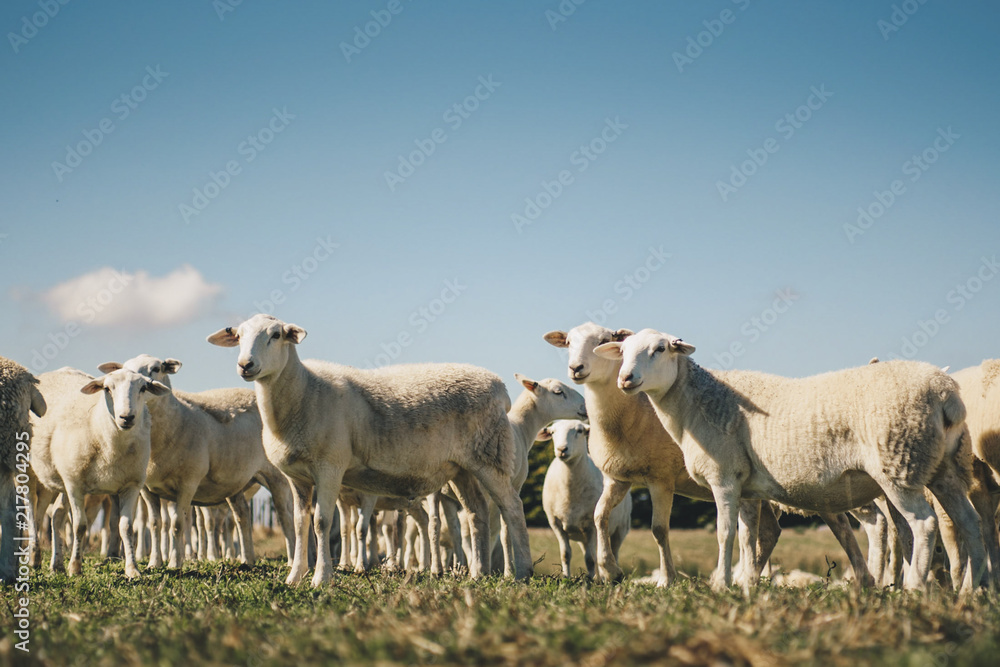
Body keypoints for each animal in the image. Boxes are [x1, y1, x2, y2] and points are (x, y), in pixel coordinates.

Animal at [30, 367, 169, 578]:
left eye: (143, 388)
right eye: (107, 388)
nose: (127, 417)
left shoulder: (131, 485)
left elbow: (126, 527)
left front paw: (132, 569)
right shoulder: (75, 485)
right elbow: (80, 526)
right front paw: (75, 567)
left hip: (59, 480)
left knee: (55, 515)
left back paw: (55, 564)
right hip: (29, 472)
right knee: (32, 513)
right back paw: (33, 559)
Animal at [96, 355, 295, 569]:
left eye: (157, 368)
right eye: (124, 369)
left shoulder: (188, 483)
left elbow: (177, 524)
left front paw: (175, 563)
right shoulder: (148, 489)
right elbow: (156, 524)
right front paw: (154, 563)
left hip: (276, 476)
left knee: (285, 517)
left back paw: (292, 562)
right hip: (236, 482)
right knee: (242, 515)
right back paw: (247, 561)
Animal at [207, 314, 532, 586]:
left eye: (275, 335)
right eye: (239, 336)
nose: (245, 365)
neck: (305, 391)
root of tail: (499, 386)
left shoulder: (329, 467)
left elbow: (321, 523)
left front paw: (321, 579)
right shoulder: (297, 478)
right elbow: (300, 525)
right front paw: (294, 578)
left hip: (491, 456)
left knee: (512, 509)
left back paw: (522, 573)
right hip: (462, 467)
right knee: (477, 513)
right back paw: (478, 574)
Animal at [540, 419, 631, 578]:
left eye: (580, 431)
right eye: (552, 432)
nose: (562, 449)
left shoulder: (591, 526)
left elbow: (590, 559)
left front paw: (592, 579)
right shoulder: (556, 524)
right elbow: (566, 554)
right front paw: (566, 577)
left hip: (620, 528)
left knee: (613, 552)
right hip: (583, 537)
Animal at [594, 328, 985, 592]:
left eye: (660, 349)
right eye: (623, 351)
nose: (626, 378)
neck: (693, 404)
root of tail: (945, 392)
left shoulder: (724, 477)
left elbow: (725, 533)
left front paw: (722, 585)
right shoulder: (747, 487)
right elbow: (749, 536)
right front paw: (747, 585)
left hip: (899, 464)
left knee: (924, 524)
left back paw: (916, 588)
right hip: (942, 467)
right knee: (970, 521)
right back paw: (973, 590)